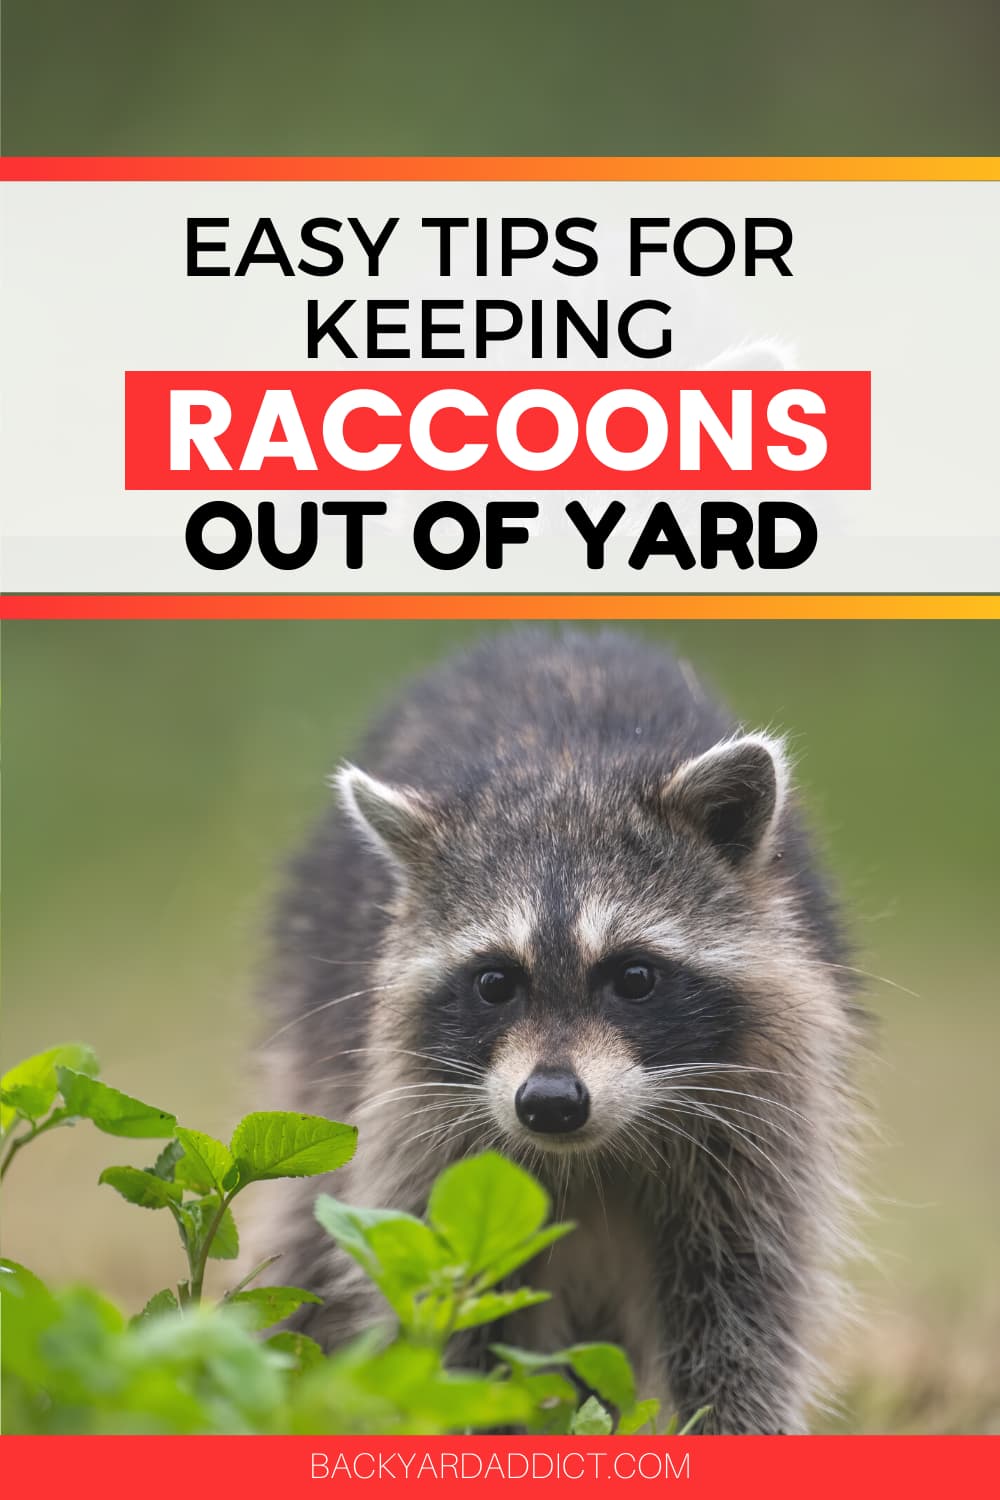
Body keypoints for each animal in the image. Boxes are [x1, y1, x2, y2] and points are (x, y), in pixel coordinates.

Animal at [257, 628, 861, 1434]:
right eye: (494, 983)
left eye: (634, 978)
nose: (550, 1102)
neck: (568, 772)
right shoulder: (418, 1123)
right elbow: (449, 1301)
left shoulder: (764, 1113)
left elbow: (744, 1303)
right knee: (301, 1229)